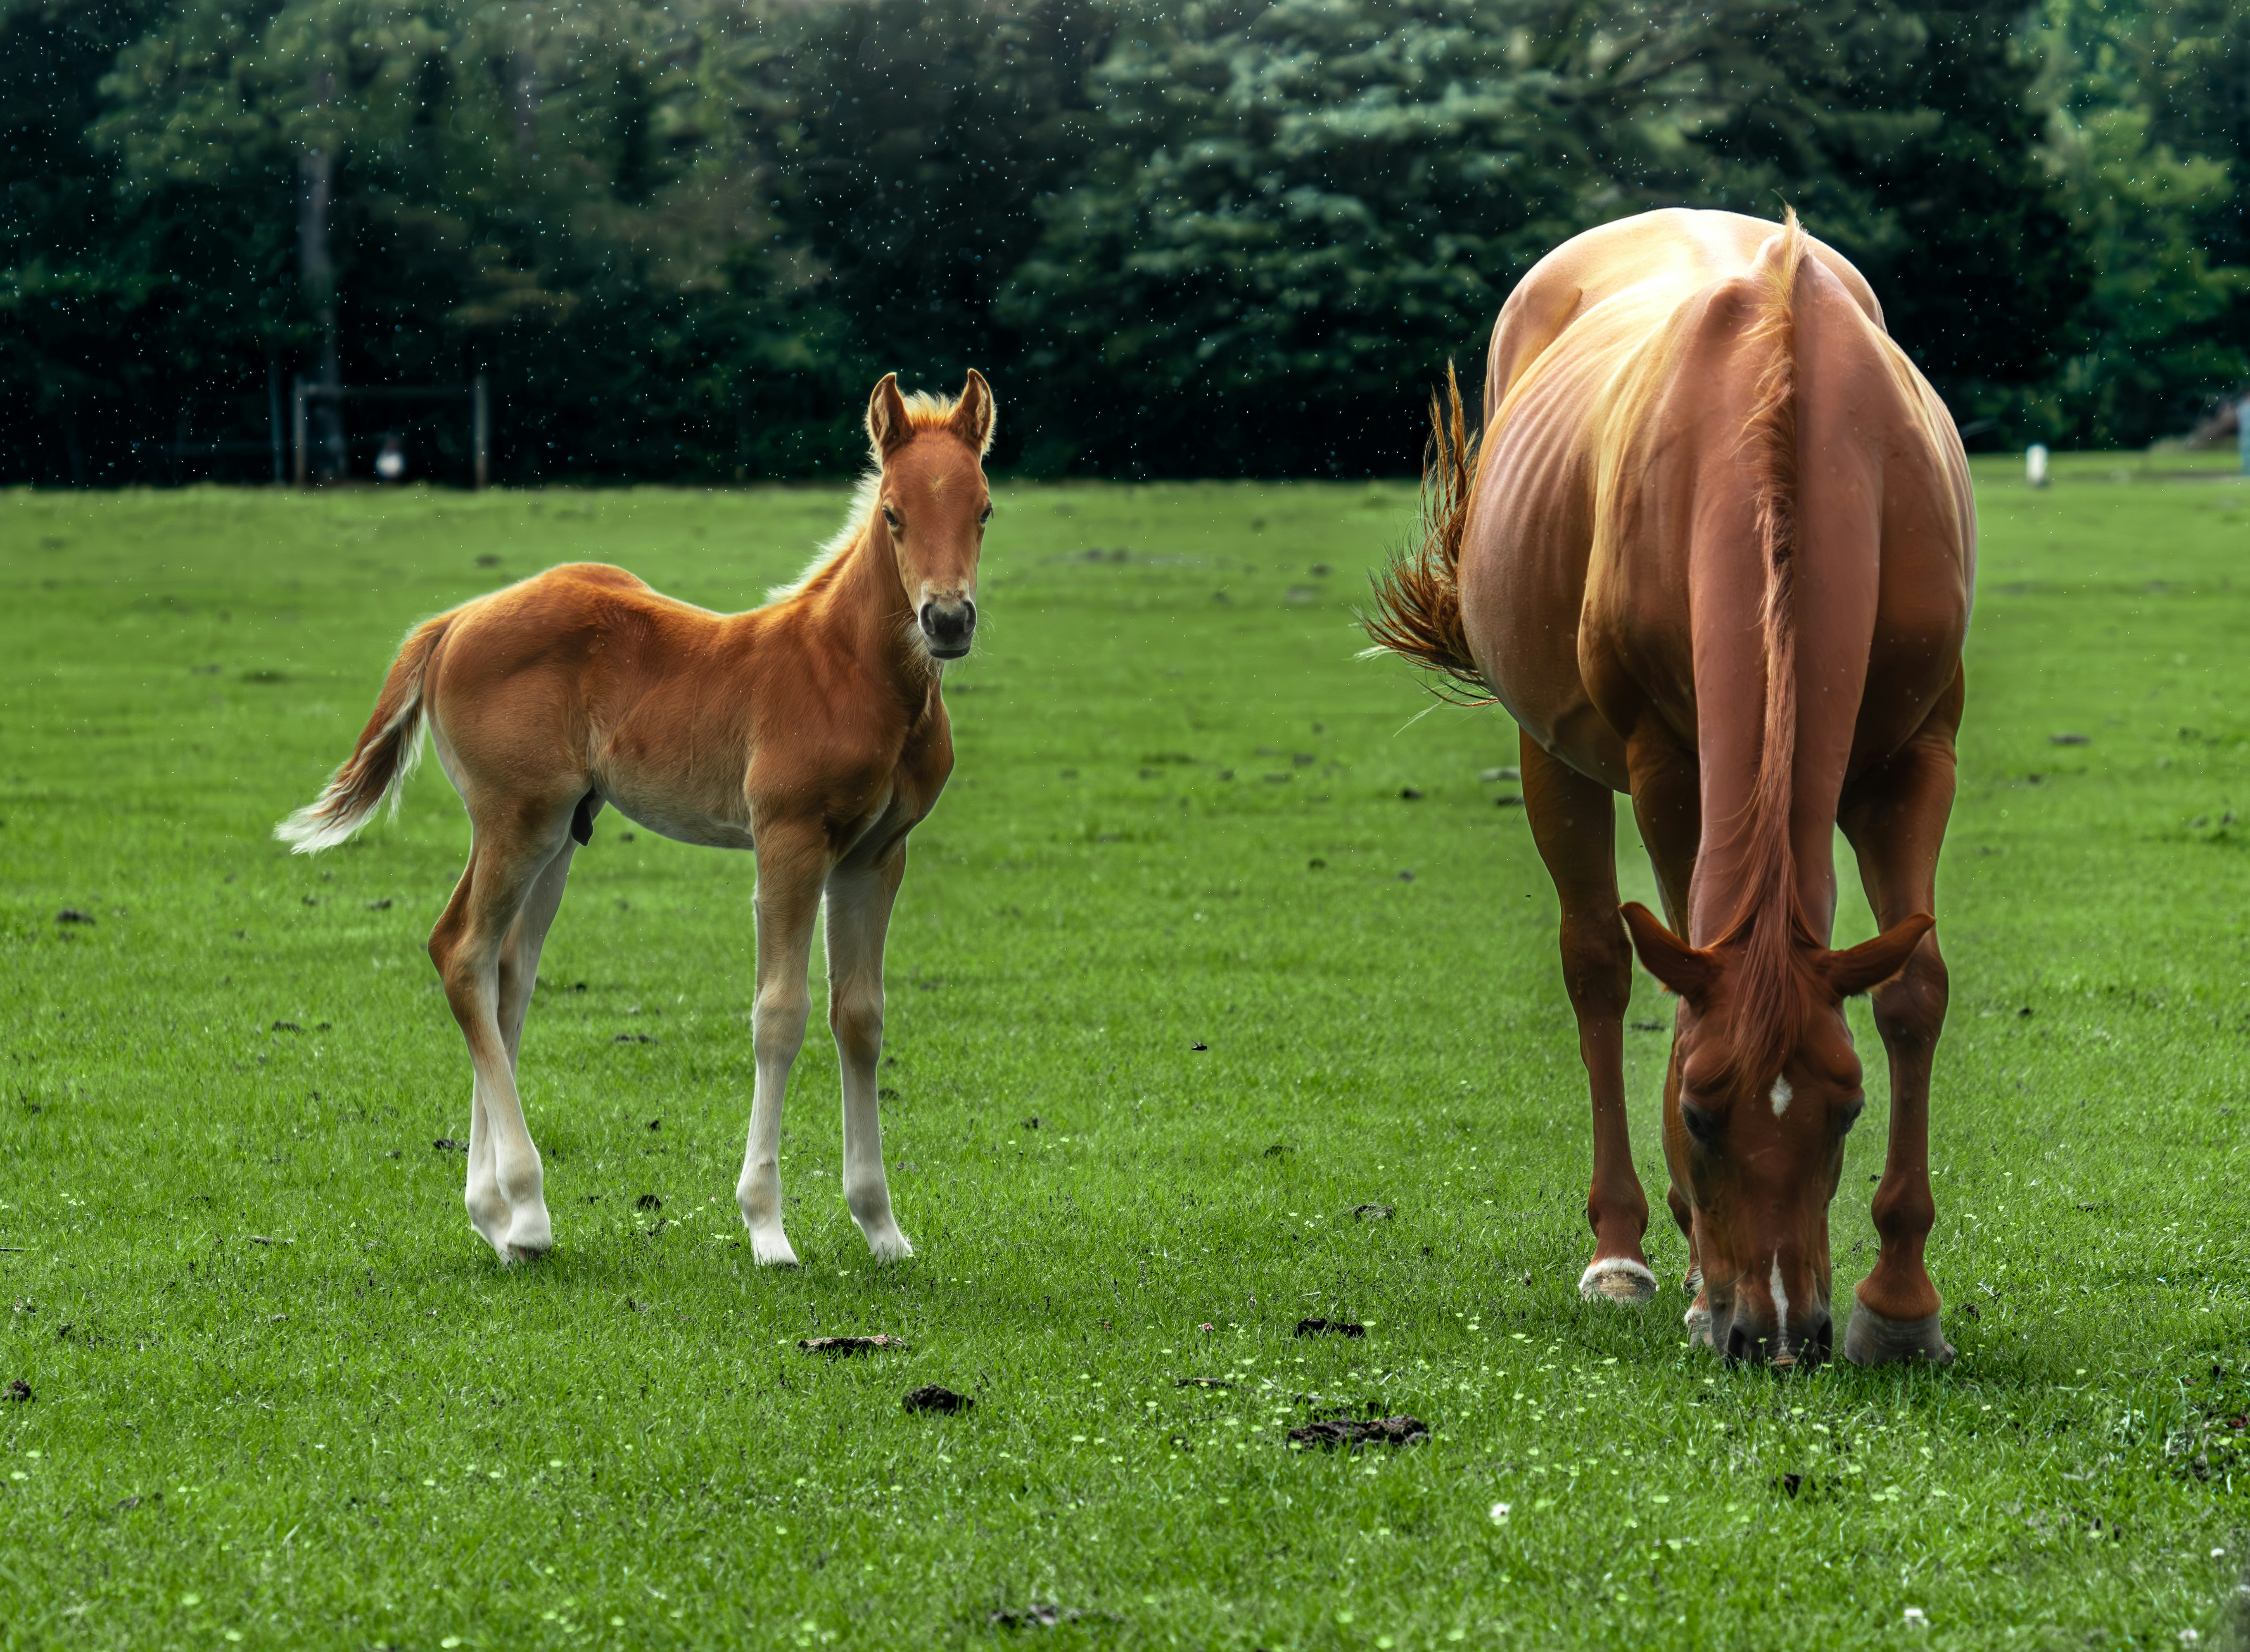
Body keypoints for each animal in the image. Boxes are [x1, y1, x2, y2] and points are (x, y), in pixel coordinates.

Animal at [275, 370, 997, 1268]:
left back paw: (496, 1215)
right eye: (894, 512)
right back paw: (527, 1209)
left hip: (559, 831)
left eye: (984, 508)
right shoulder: (789, 842)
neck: (850, 671)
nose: (948, 620)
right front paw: (767, 1227)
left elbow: (859, 1017)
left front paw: (882, 1228)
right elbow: (780, 1014)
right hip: (517, 819)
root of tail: (454, 622)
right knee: (462, 950)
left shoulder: (875, 855)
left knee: (506, 974)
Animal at [1368, 210, 1973, 1367]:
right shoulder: (1667, 765)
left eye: (1847, 1108)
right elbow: (1665, 958)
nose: (1775, 1334)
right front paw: (1701, 1277)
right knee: (1598, 966)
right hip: (1553, 754)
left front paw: (1900, 1303)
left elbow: (1914, 990)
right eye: (1696, 1111)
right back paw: (1625, 1254)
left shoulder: (1914, 759)